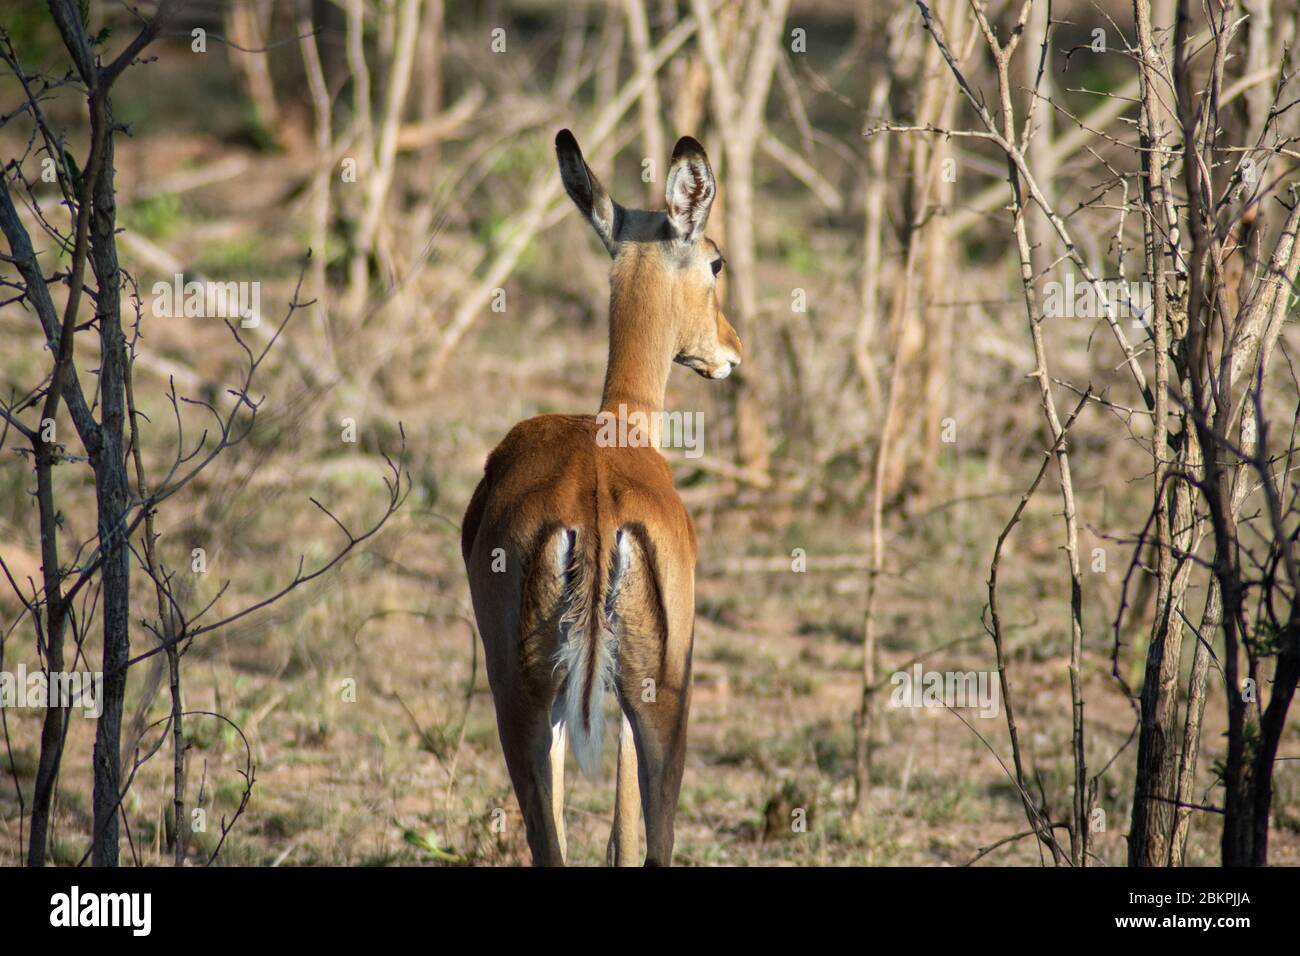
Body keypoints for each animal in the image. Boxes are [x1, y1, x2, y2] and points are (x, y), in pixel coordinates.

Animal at [461, 129, 741, 866]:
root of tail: (595, 505)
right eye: (716, 260)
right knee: (655, 837)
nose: (731, 351)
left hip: (526, 698)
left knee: (549, 839)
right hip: (659, 693)